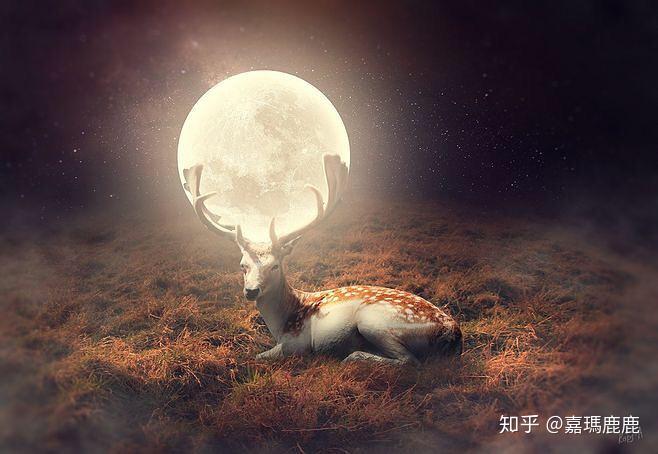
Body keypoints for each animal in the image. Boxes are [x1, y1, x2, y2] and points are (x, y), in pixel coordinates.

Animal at [183, 154, 461, 365]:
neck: (282, 321)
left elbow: (256, 356)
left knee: (409, 360)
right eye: (242, 265)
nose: (251, 291)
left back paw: (354, 356)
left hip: (374, 321)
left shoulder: (296, 344)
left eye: (275, 265)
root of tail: (453, 333)